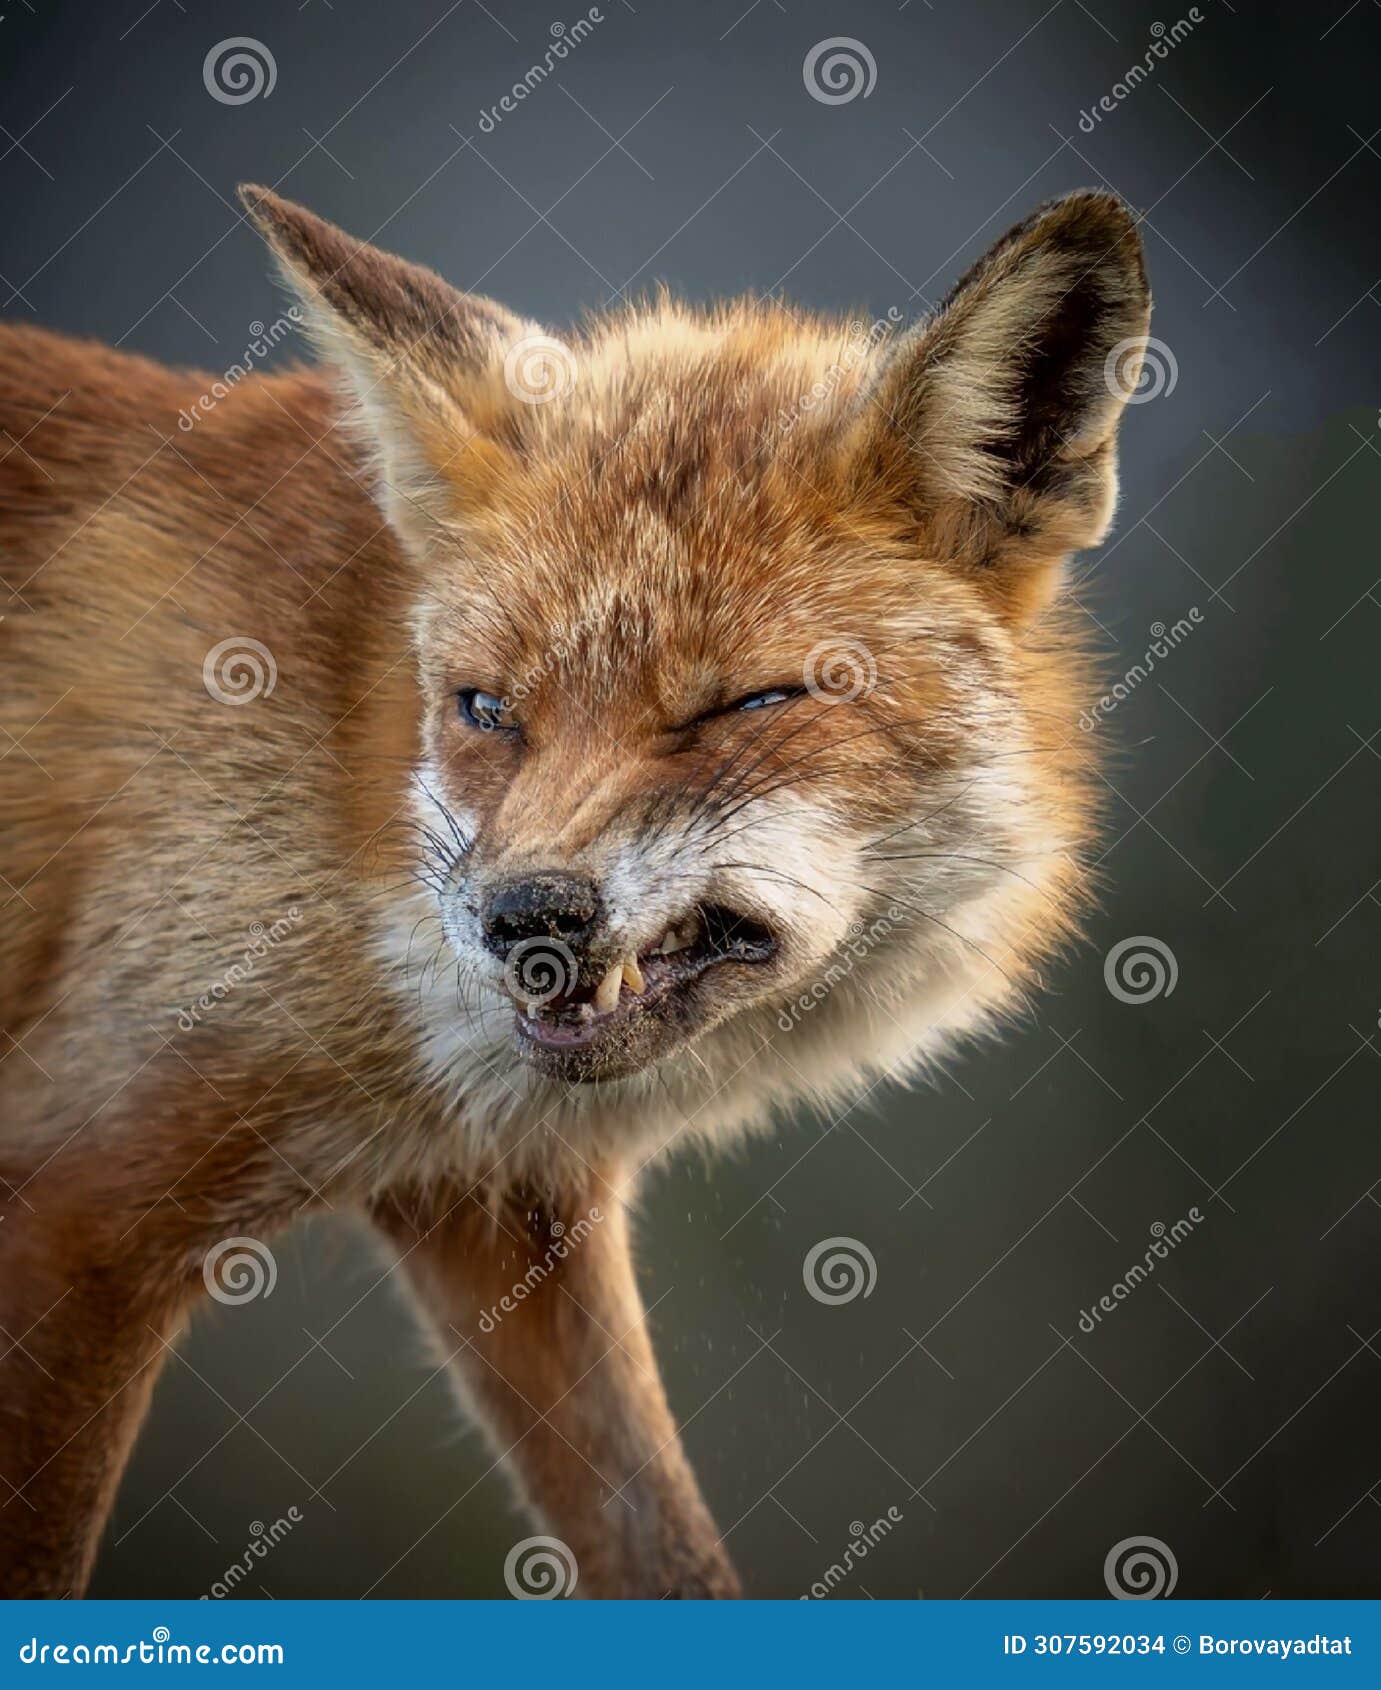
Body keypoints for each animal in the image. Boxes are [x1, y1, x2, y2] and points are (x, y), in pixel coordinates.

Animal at [0, 184, 1150, 1598]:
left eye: (744, 704)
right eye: (486, 709)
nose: (522, 915)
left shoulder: (506, 1212)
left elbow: (665, 1552)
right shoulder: (76, 1192)